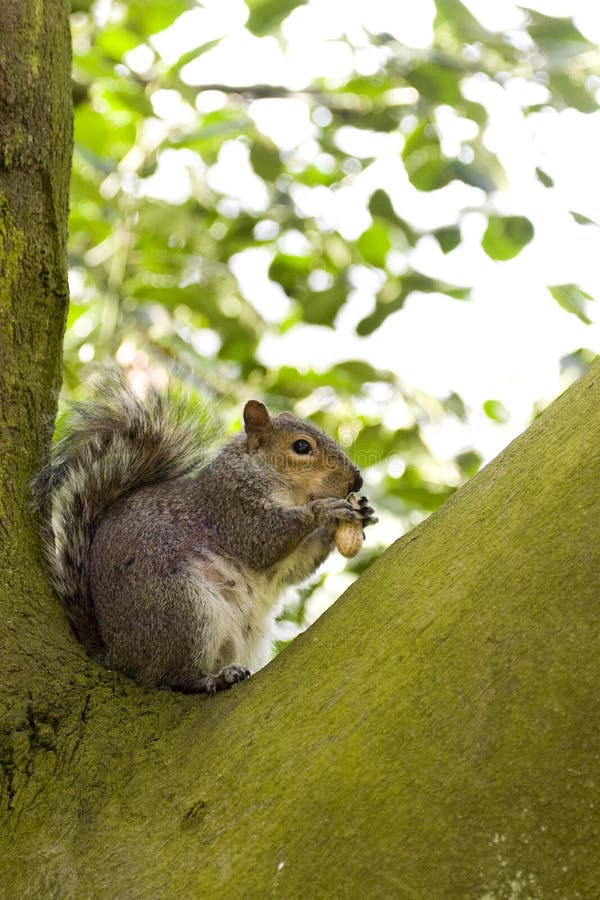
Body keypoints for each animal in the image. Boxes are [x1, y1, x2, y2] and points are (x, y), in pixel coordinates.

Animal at [34, 370, 377, 694]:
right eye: (302, 446)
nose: (356, 481)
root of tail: (118, 658)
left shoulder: (282, 564)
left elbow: (296, 567)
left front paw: (360, 514)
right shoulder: (228, 509)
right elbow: (263, 539)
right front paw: (325, 511)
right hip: (183, 611)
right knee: (169, 677)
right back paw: (212, 680)